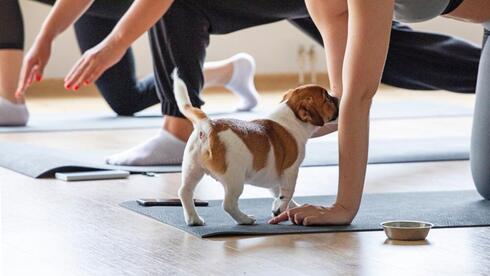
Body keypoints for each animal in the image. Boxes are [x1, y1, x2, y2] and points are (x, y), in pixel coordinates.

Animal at [172, 72, 336, 225]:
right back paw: (244, 219)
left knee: (185, 192)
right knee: (228, 204)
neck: (290, 118)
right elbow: (287, 192)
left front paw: (289, 208)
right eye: (327, 98)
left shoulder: (277, 178)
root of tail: (208, 126)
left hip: (192, 169)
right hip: (234, 179)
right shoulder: (291, 170)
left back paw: (194, 219)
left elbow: (279, 192)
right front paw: (280, 208)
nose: (337, 97)